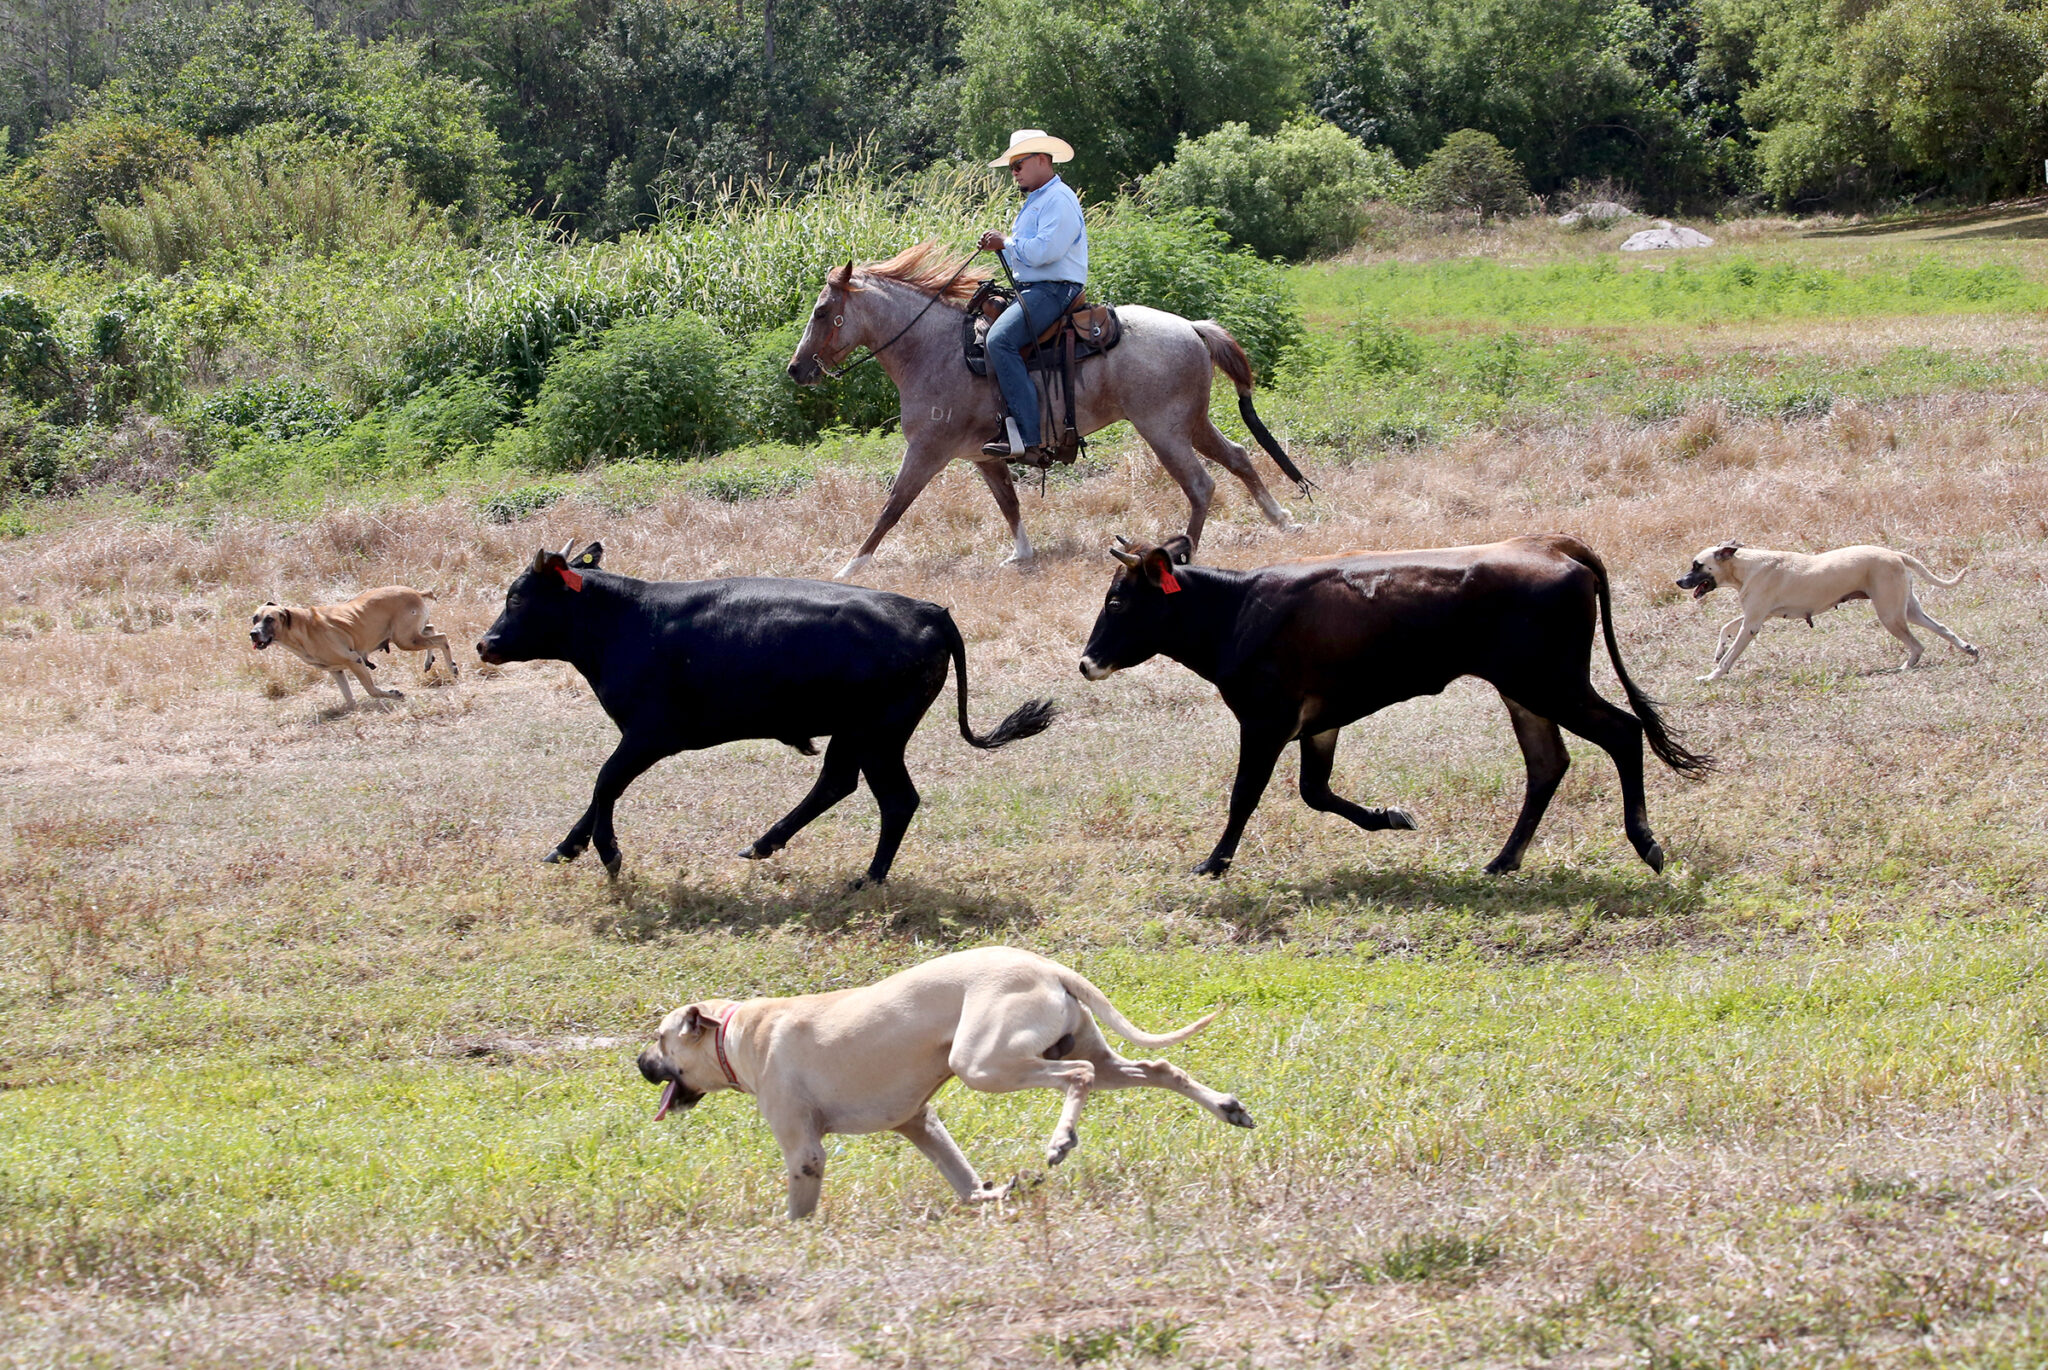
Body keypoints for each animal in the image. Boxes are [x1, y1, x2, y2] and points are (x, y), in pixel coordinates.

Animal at [477, 541, 1057, 886]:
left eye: (517, 597)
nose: (485, 644)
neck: (628, 621)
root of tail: (930, 610)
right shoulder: (642, 739)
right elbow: (601, 790)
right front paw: (566, 848)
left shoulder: (650, 735)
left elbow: (604, 783)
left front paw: (608, 854)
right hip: (857, 734)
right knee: (837, 784)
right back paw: (765, 844)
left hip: (879, 734)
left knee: (896, 800)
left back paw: (868, 877)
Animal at [1077, 533, 1712, 878]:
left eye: (1116, 600)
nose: (1086, 662)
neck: (1237, 609)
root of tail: (1554, 544)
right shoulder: (1319, 722)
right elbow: (1315, 792)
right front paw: (1390, 817)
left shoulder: (1265, 720)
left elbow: (1244, 796)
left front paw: (1213, 863)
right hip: (1526, 690)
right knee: (1547, 764)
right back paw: (1503, 860)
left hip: (1551, 684)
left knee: (1622, 733)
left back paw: (1646, 844)